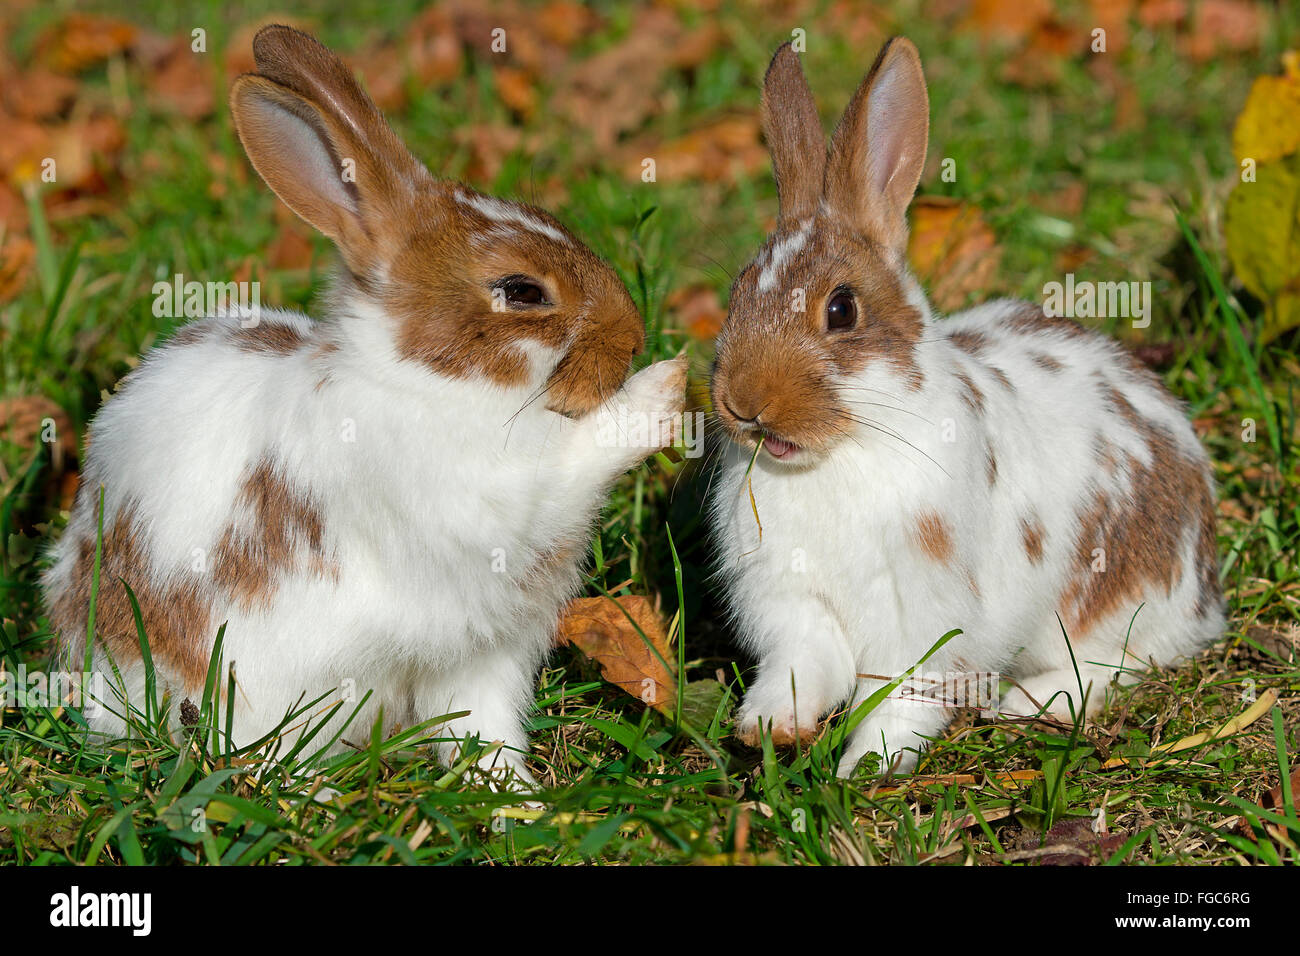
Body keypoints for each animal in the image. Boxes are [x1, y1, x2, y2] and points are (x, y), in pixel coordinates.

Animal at [42, 24, 687, 786]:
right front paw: (667, 386)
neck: (426, 380)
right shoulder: (485, 496)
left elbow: (486, 732)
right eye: (522, 291)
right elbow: (578, 455)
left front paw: (515, 798)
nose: (634, 339)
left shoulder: (484, 653)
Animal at [708, 38, 1223, 775]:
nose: (743, 402)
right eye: (738, 292)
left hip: (1117, 602)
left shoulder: (928, 622)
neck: (848, 448)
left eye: (841, 309)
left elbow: (906, 697)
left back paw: (1028, 702)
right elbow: (801, 666)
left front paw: (867, 766)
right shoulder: (796, 606)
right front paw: (771, 726)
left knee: (1123, 662)